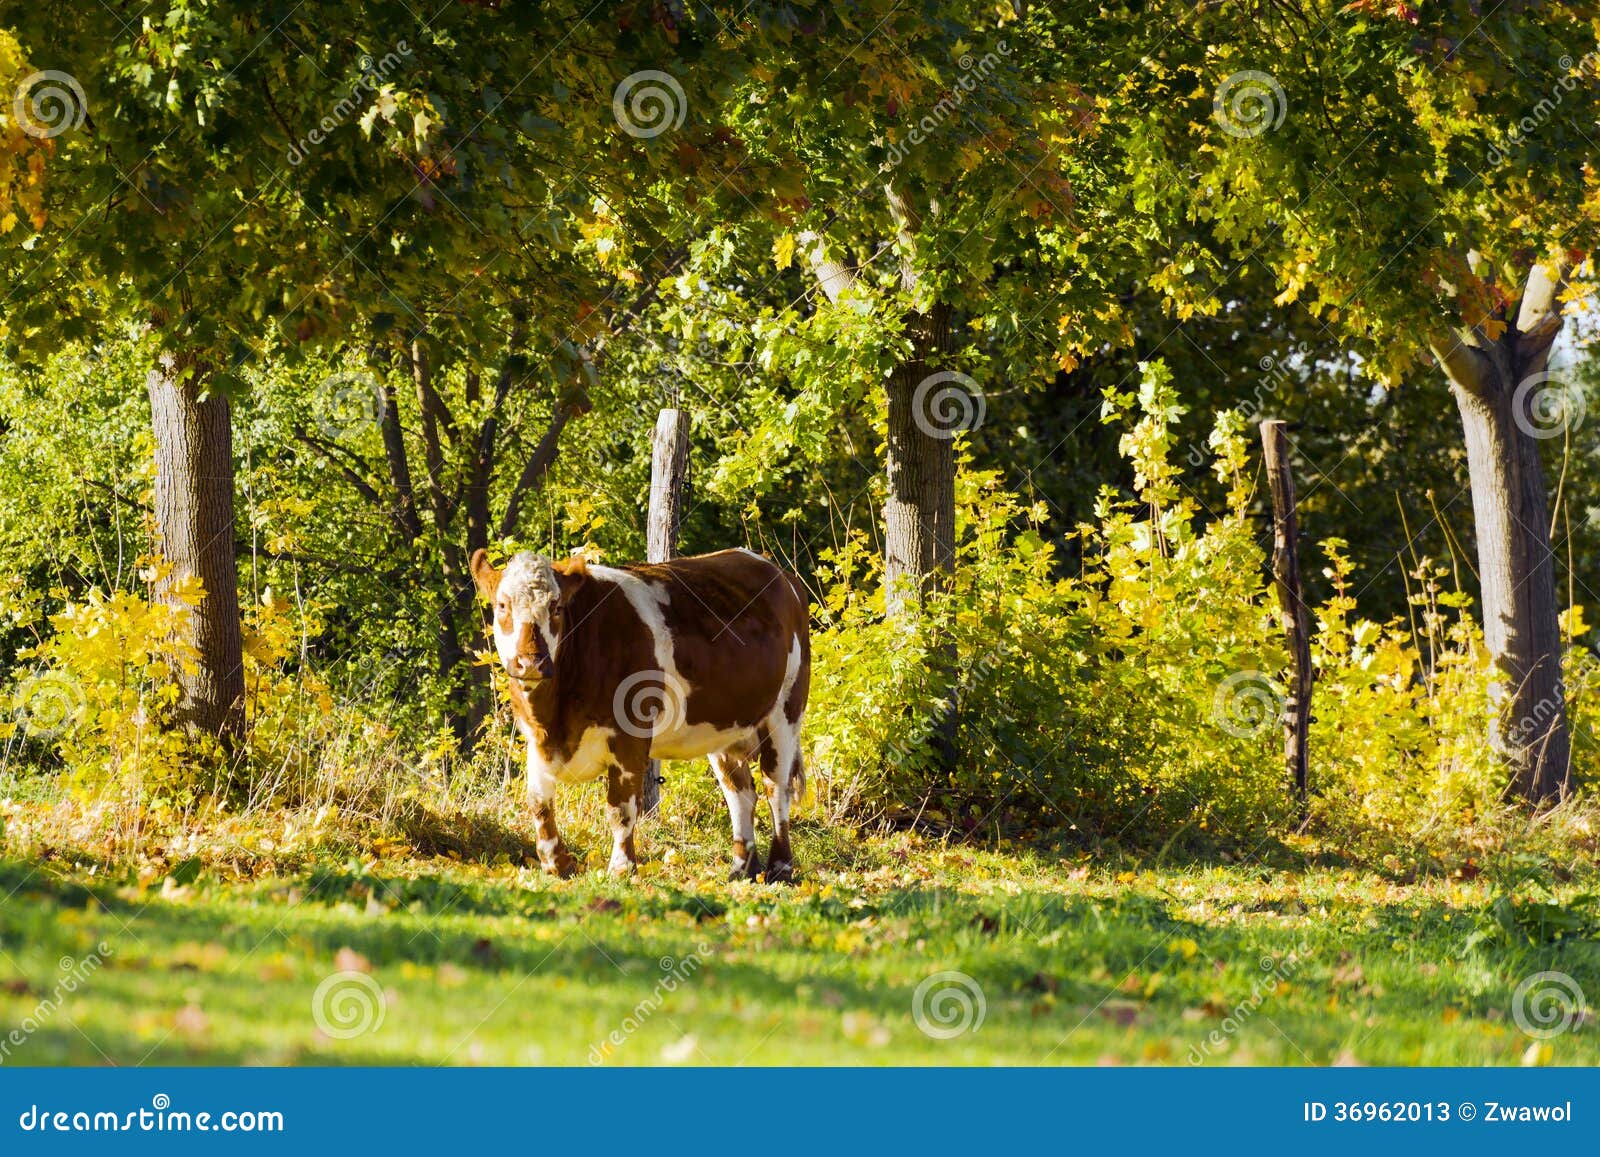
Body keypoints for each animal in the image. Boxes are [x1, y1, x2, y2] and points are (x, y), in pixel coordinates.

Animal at [470, 546, 811, 882]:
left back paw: (780, 867)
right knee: (740, 793)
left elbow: (620, 808)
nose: (531, 663)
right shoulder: (535, 738)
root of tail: (782, 575)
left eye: (556, 607)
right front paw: (557, 863)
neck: (556, 718)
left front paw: (622, 868)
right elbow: (538, 801)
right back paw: (742, 869)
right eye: (502, 605)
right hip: (726, 728)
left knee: (776, 788)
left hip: (785, 713)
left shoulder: (629, 735)